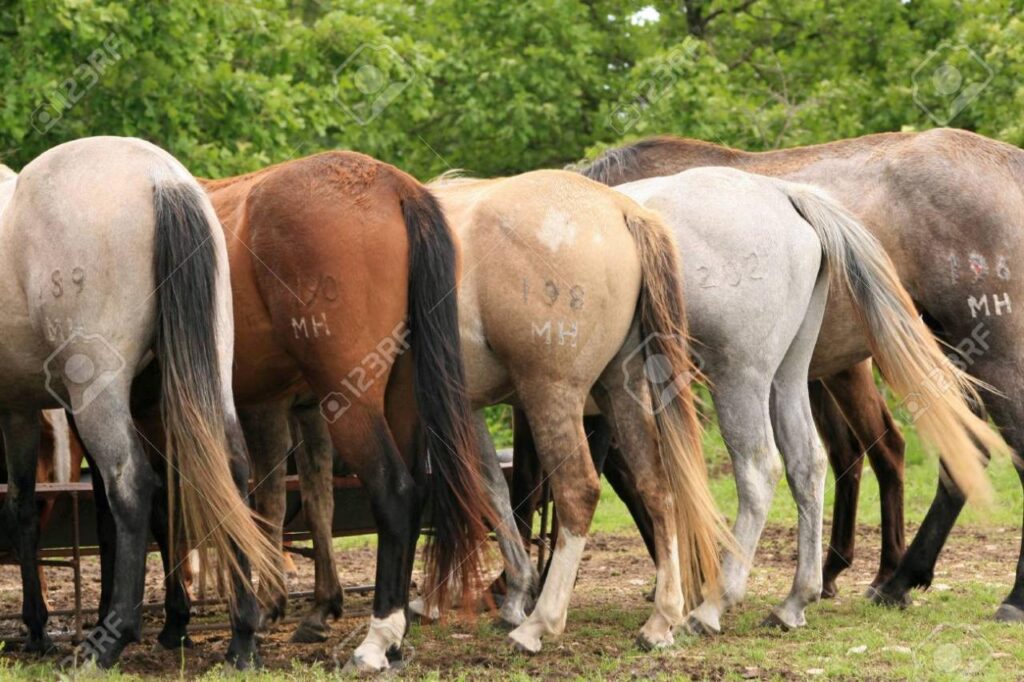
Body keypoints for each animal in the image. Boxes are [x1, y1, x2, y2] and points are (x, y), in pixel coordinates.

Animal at [0, 136, 279, 667]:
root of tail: (160, 177)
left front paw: (41, 628)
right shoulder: (32, 407)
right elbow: (45, 510)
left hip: (100, 393)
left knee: (131, 485)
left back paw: (111, 639)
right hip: (201, 376)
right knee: (229, 470)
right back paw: (241, 636)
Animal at [500, 165, 1001, 633]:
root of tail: (785, 194)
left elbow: (534, 486)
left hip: (741, 379)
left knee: (760, 470)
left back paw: (717, 603)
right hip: (789, 377)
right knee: (808, 462)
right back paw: (796, 599)